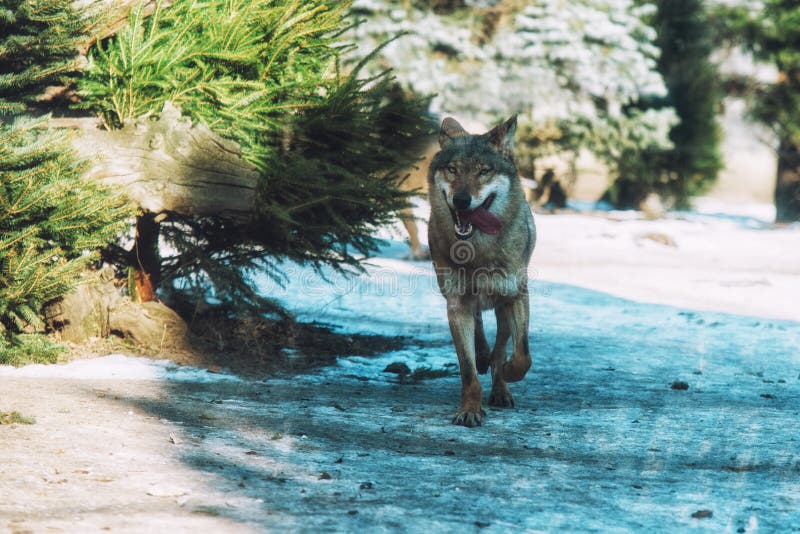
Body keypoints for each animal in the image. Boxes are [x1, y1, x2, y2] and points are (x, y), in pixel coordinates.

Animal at [427, 115, 536, 427]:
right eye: (453, 170)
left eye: (484, 171)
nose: (462, 200)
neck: (478, 251)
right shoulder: (456, 304)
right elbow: (467, 369)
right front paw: (470, 410)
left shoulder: (516, 296)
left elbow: (522, 355)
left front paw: (509, 373)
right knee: (480, 333)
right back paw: (483, 355)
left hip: (503, 309)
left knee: (502, 345)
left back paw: (500, 386)